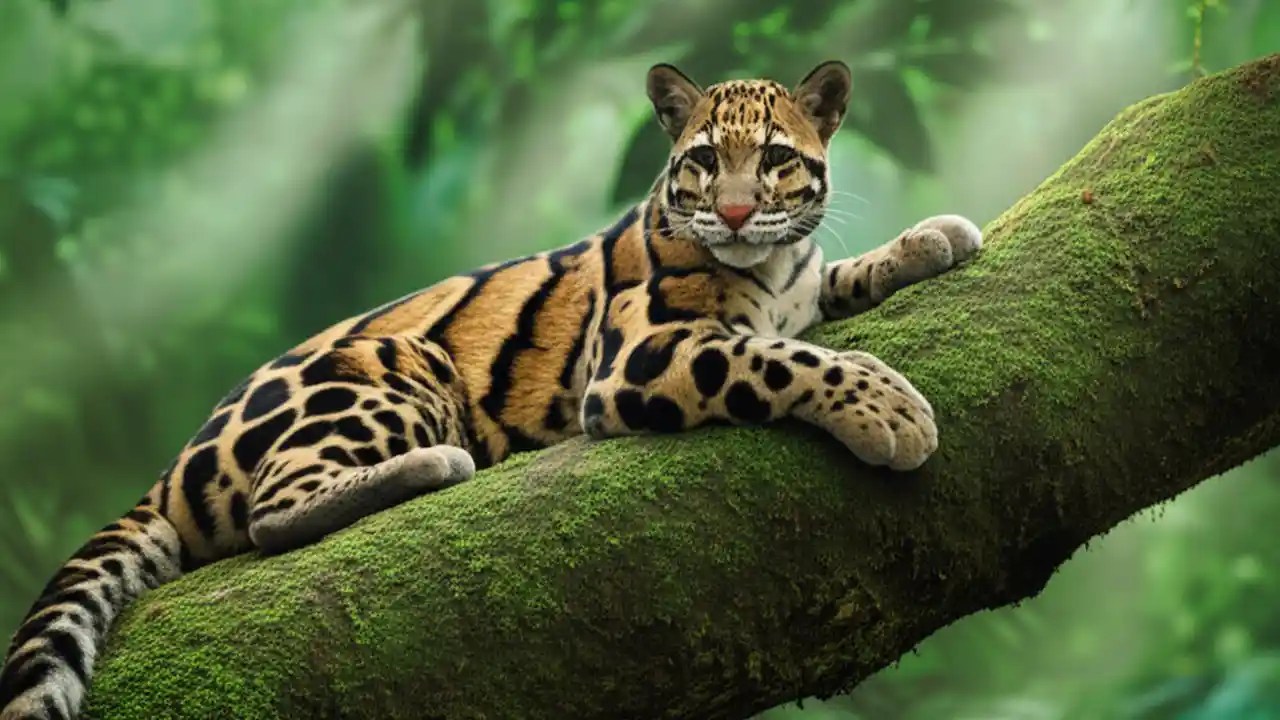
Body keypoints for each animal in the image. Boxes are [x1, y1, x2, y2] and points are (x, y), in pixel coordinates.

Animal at [0, 60, 981, 720]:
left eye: (776, 158)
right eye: (702, 162)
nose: (735, 212)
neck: (768, 262)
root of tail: (170, 468)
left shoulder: (794, 289)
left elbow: (828, 288)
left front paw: (929, 238)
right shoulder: (640, 355)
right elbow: (780, 358)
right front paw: (890, 408)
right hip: (395, 362)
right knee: (273, 512)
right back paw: (436, 464)